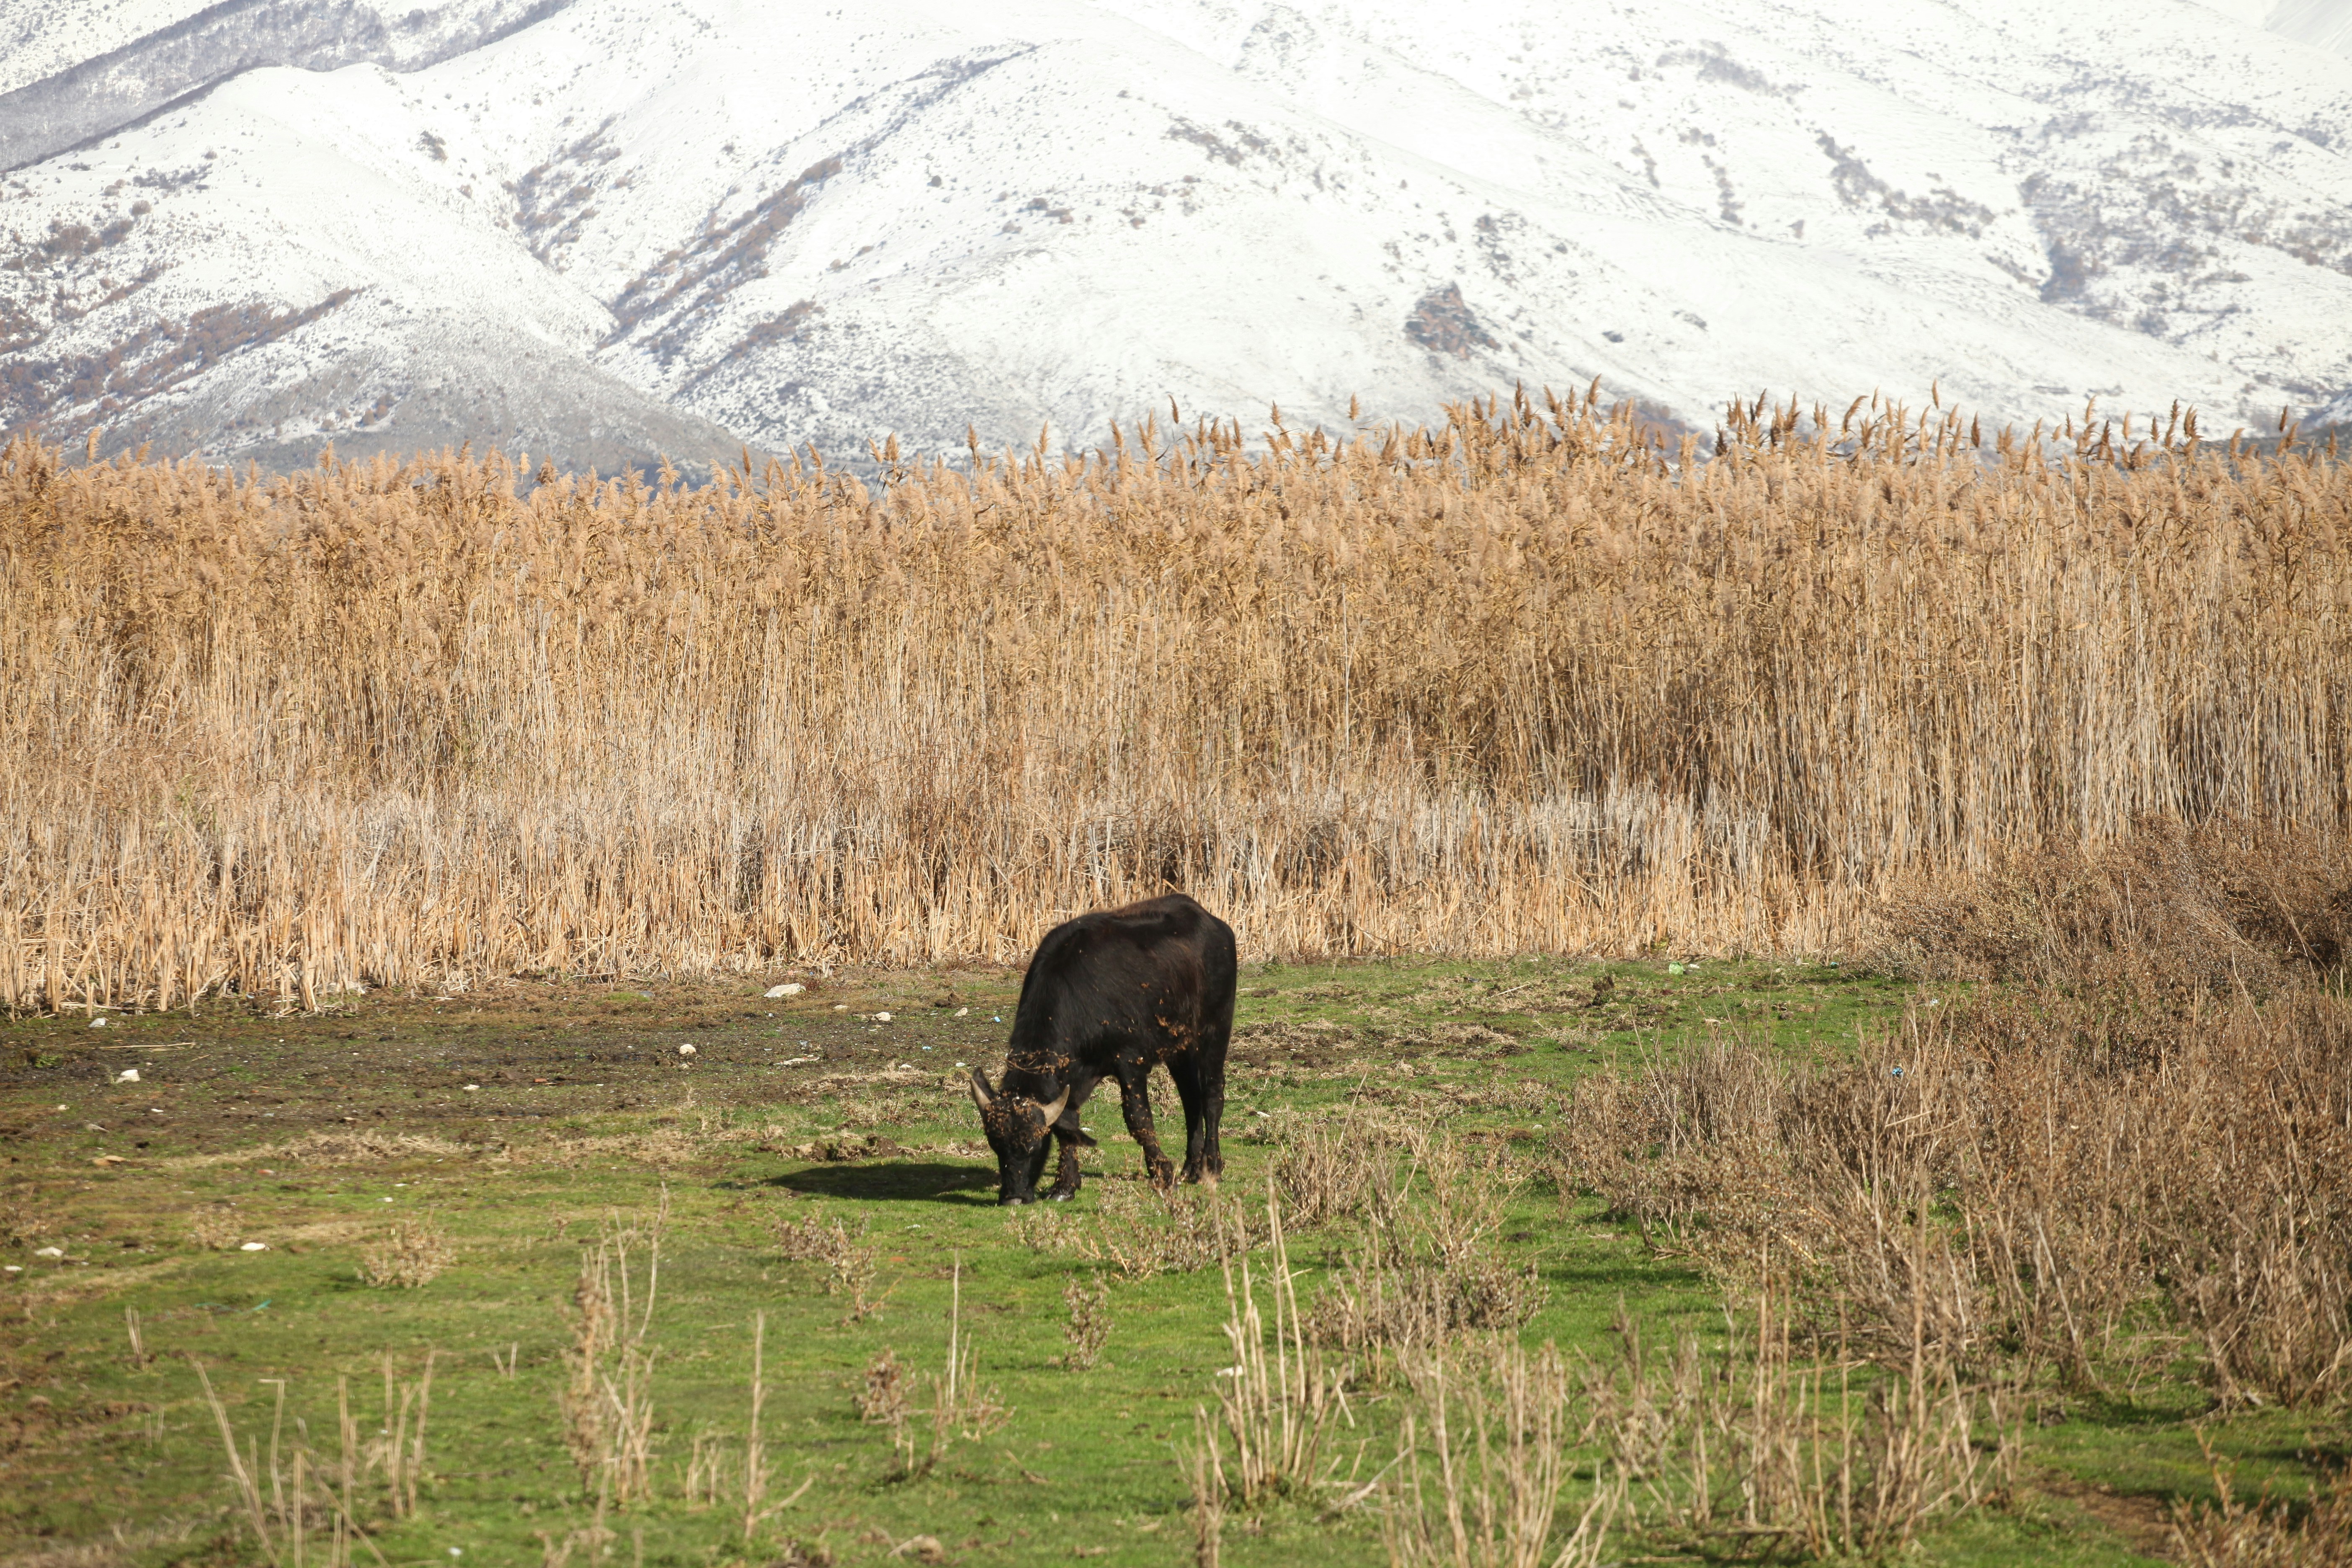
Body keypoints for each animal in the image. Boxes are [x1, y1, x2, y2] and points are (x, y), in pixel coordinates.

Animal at [965, 894, 1235, 1205]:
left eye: (1034, 1145)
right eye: (996, 1146)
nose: (1013, 1198)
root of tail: (1215, 925)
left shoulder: (1131, 1061)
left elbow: (1138, 1119)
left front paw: (1162, 1173)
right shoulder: (1074, 1073)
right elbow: (1069, 1122)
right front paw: (1064, 1186)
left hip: (1215, 1029)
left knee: (1213, 1096)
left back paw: (1211, 1167)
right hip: (1181, 1048)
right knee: (1191, 1099)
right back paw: (1191, 1167)